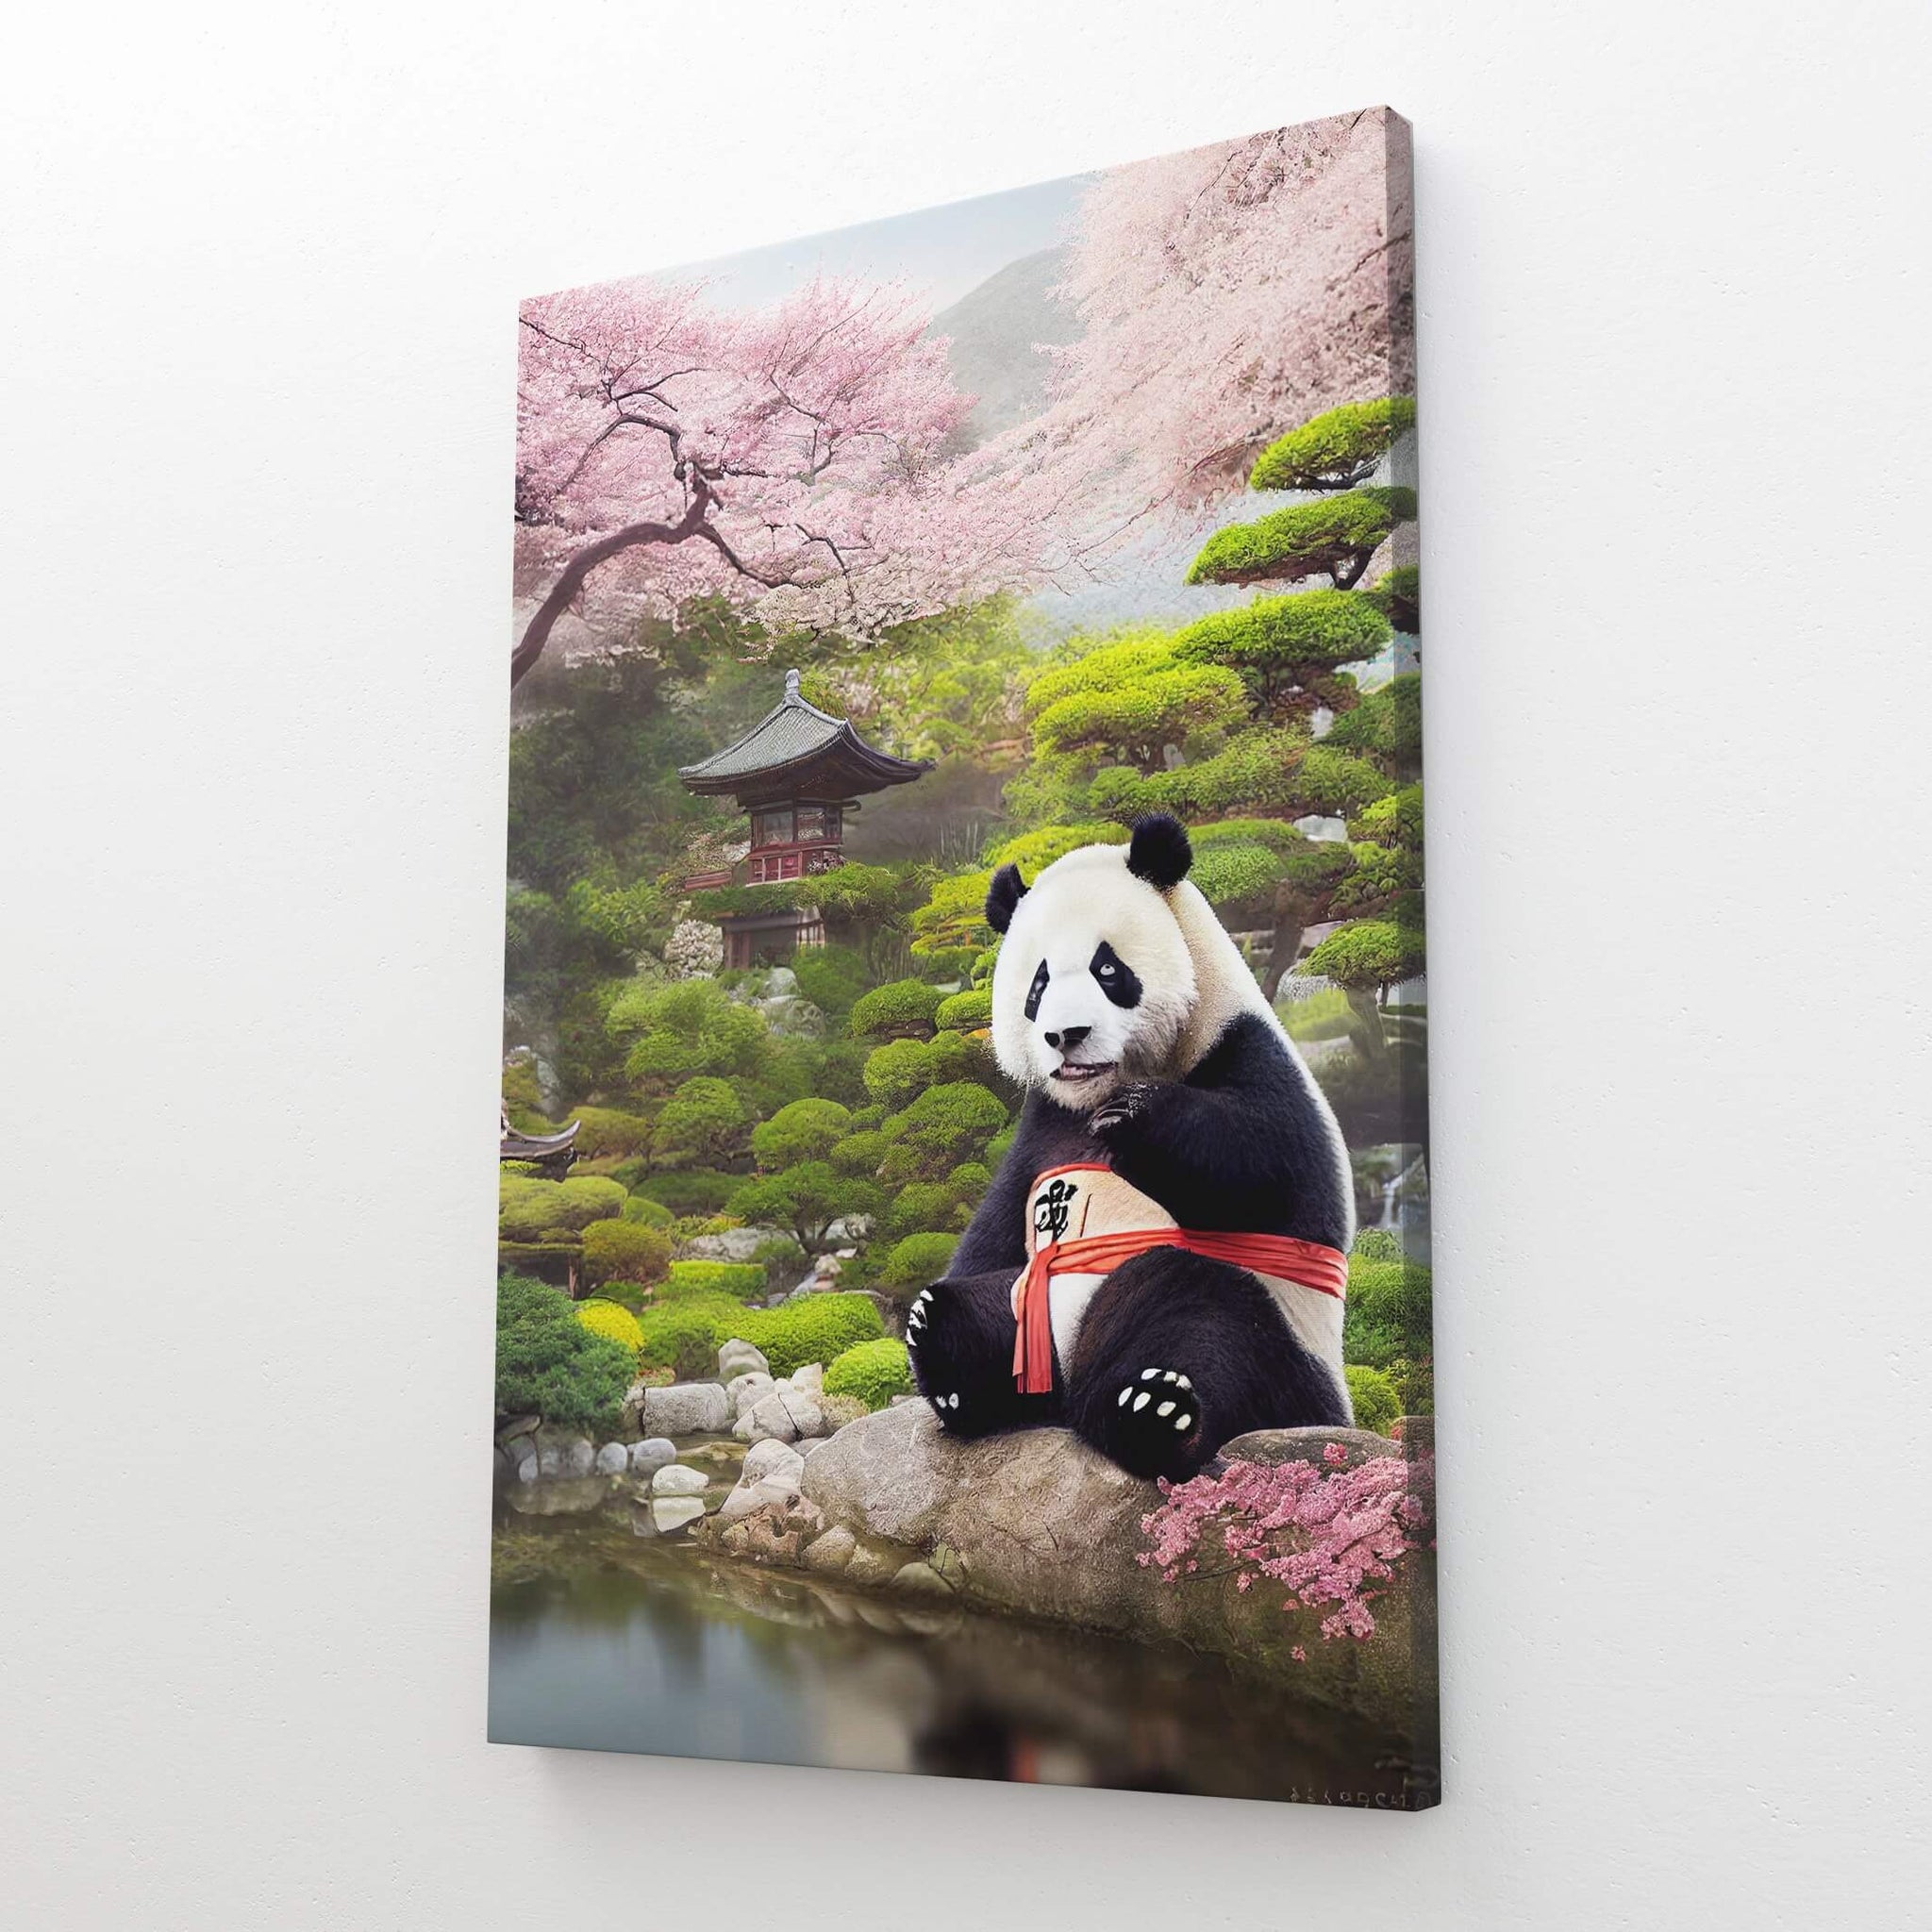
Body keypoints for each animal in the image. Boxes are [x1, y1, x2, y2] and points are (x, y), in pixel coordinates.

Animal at [904, 813, 1355, 1482]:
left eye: (1107, 970)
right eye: (1038, 983)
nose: (1066, 1035)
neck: (1098, 1091)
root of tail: (1064, 1399)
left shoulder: (1249, 1053)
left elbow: (1271, 1165)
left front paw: (1134, 1116)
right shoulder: (1043, 1127)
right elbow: (994, 1226)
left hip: (1270, 1331)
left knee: (1201, 1318)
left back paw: (1154, 1412)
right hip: (1030, 1314)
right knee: (984, 1310)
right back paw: (946, 1353)